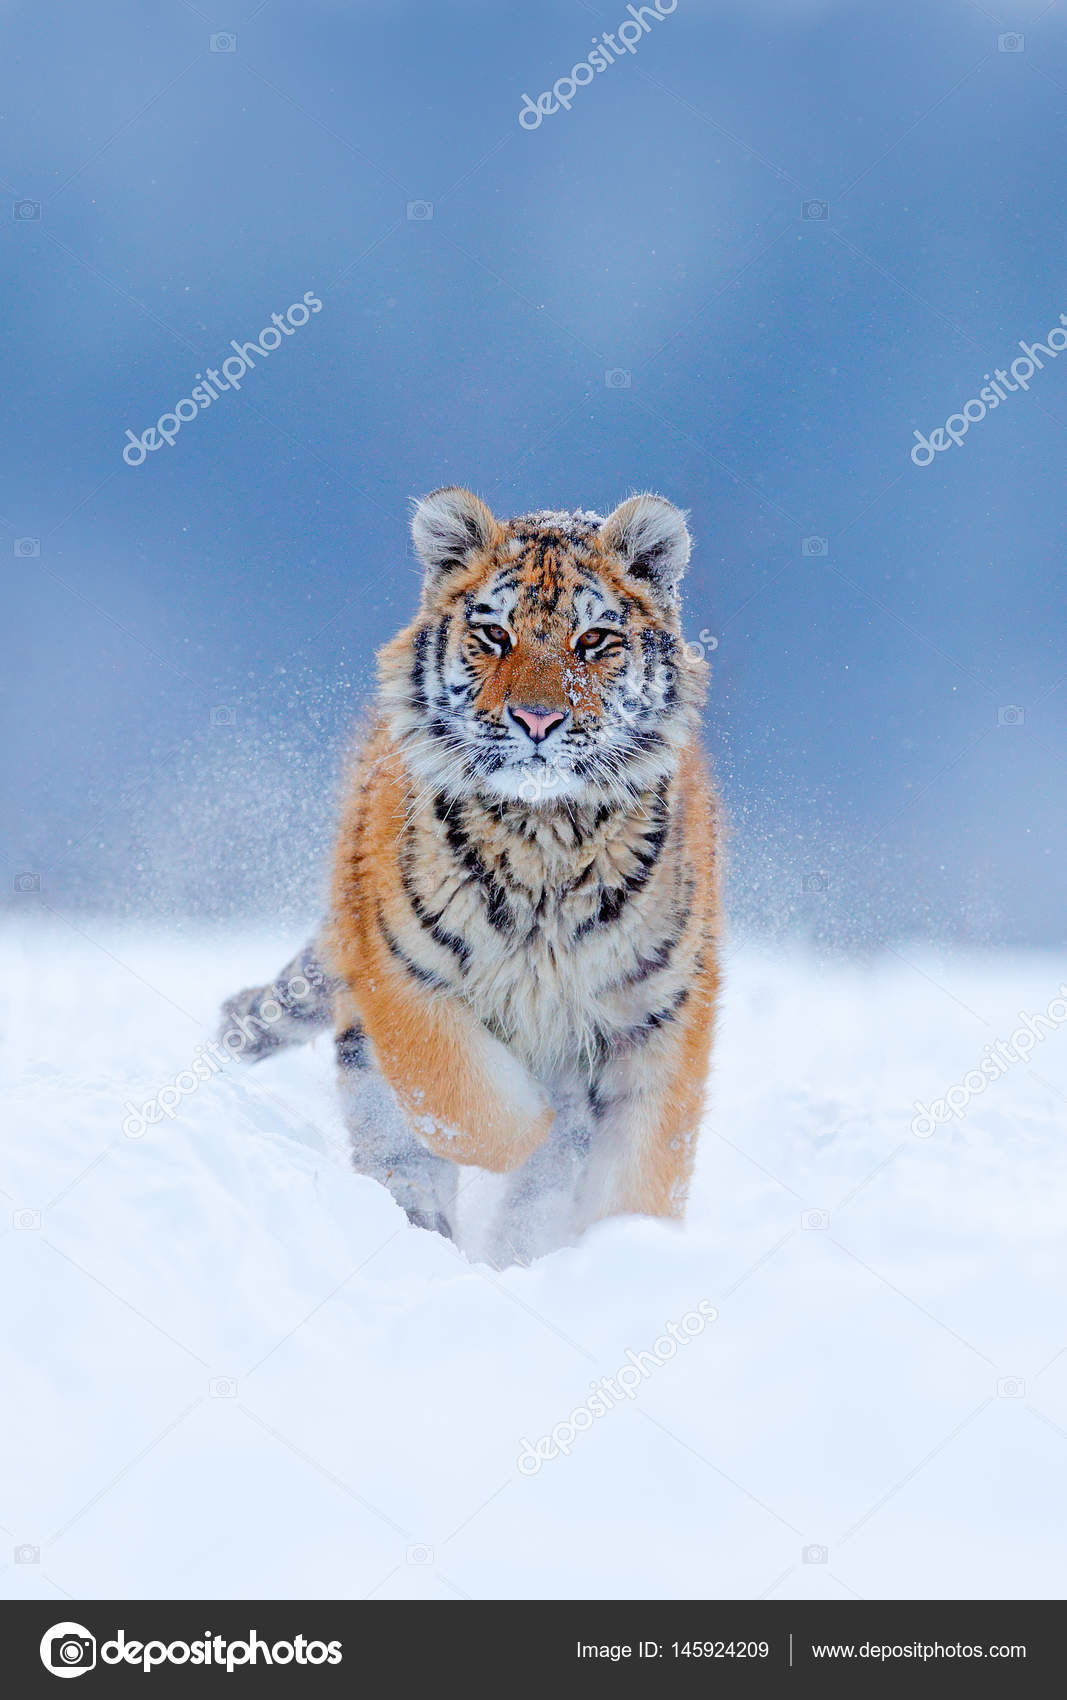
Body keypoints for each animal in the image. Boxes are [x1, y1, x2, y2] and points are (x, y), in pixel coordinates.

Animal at [220, 487, 722, 1265]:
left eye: (593, 640)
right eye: (493, 633)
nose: (537, 720)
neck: (546, 836)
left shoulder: (660, 1009)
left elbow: (645, 1160)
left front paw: (630, 1248)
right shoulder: (401, 973)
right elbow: (471, 1103)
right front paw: (540, 1127)